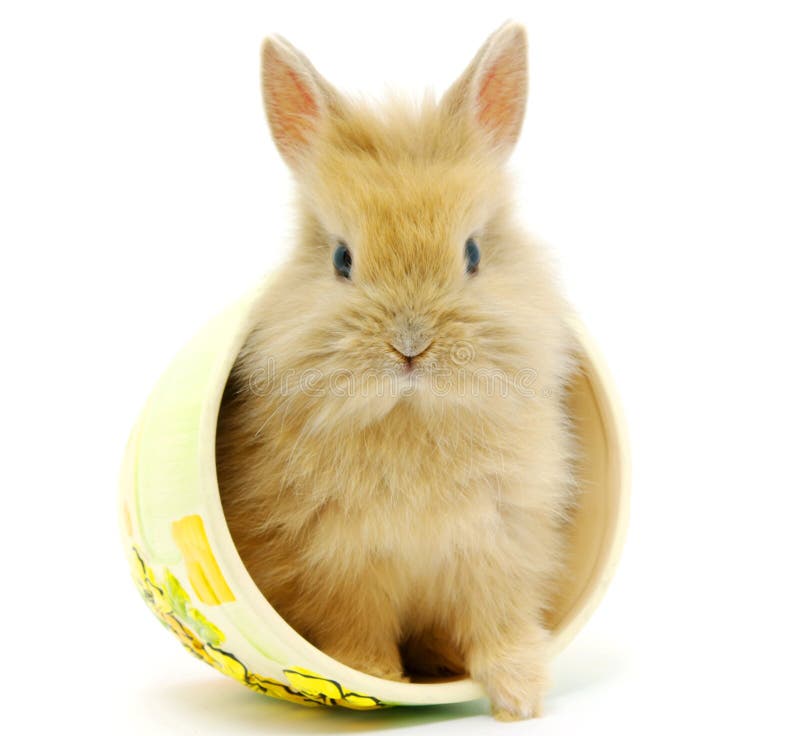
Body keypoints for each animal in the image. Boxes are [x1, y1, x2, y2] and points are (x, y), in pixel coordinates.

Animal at [216, 21, 577, 721]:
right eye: (341, 259)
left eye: (473, 253)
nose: (410, 348)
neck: (413, 415)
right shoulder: (341, 563)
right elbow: (356, 628)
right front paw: (374, 676)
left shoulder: (499, 547)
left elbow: (499, 621)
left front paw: (519, 699)